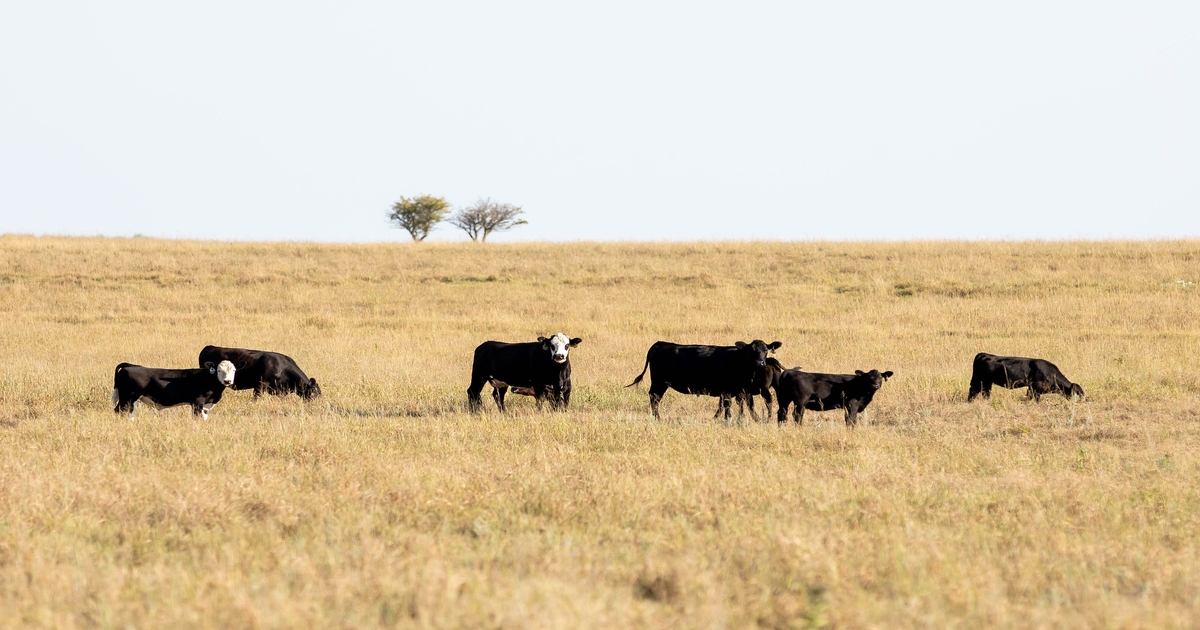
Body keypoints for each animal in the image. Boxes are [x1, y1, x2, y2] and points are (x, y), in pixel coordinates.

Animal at [625, 340, 783, 419]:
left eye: (766, 350)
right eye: (751, 351)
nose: (760, 363)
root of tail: (659, 343)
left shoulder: (738, 391)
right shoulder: (727, 390)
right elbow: (727, 406)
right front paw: (728, 419)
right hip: (659, 382)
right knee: (654, 398)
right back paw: (657, 417)